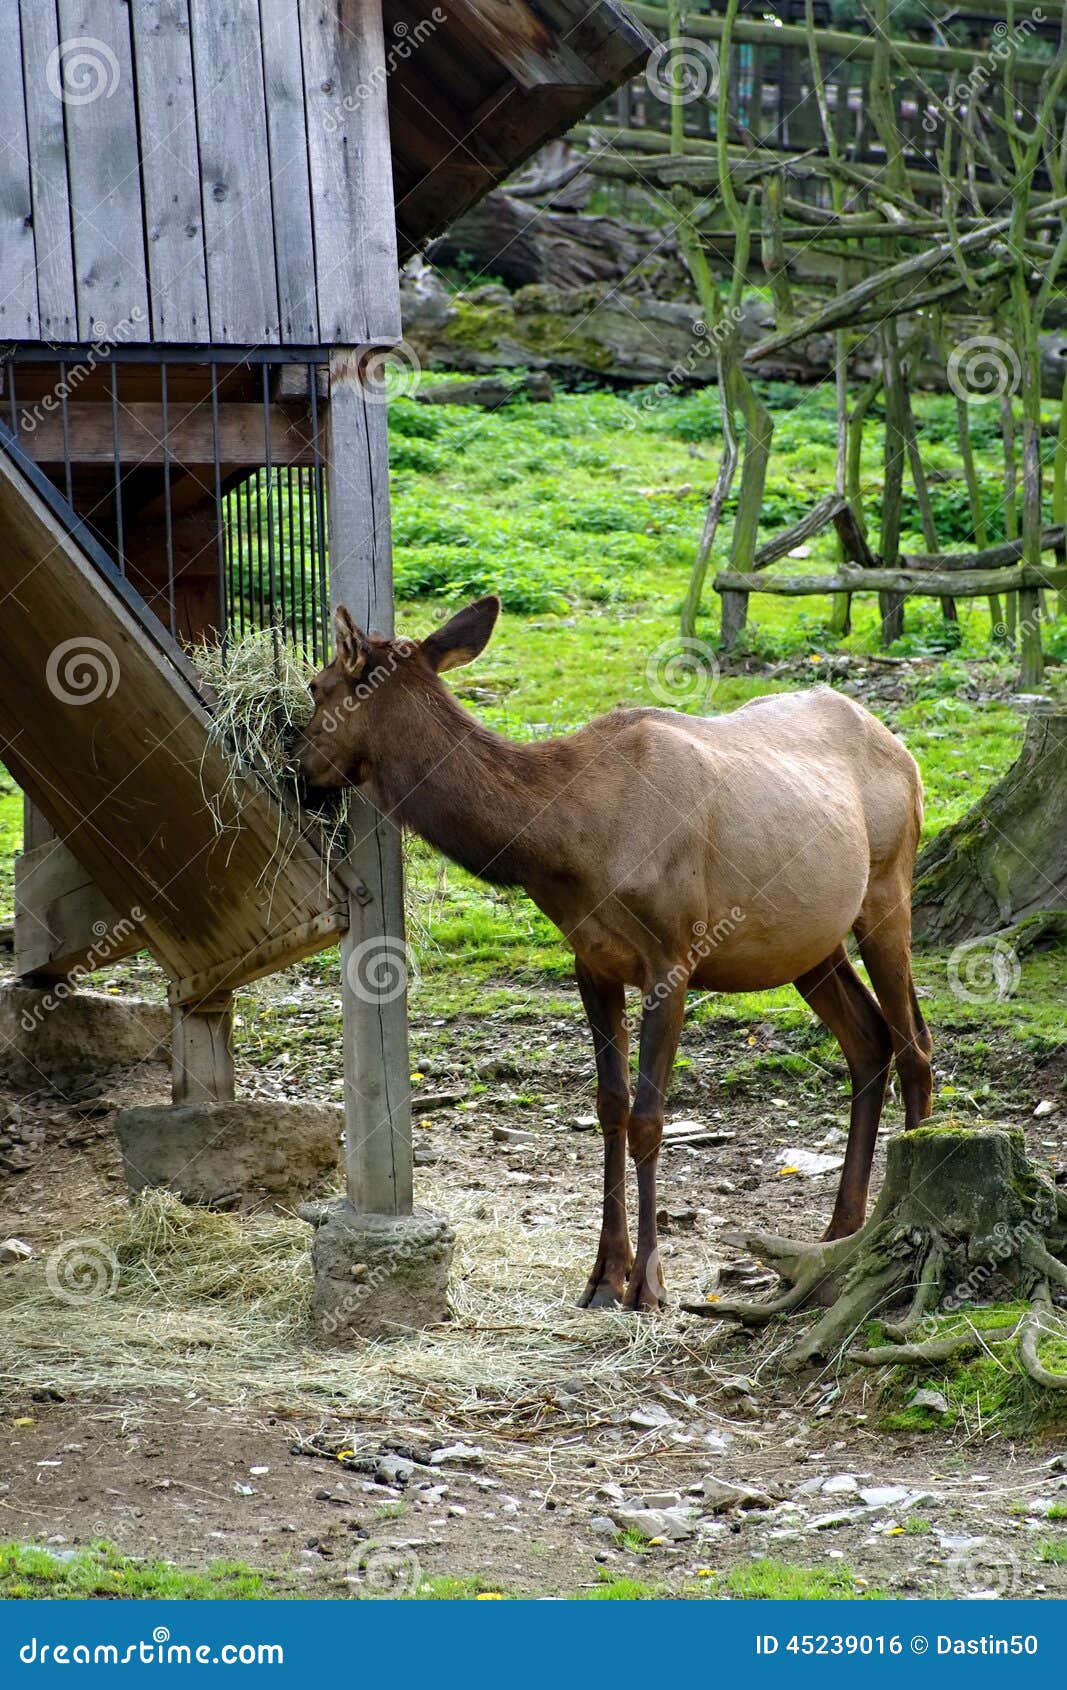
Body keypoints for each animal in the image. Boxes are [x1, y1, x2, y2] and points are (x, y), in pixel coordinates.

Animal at [297, 595, 933, 1312]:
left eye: (316, 684)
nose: (294, 764)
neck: (563, 839)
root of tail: (903, 750)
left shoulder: (673, 956)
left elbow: (649, 1117)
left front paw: (648, 1283)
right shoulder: (592, 961)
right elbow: (609, 1109)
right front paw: (603, 1276)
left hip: (888, 889)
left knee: (914, 1044)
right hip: (808, 943)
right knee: (869, 1040)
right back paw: (838, 1233)